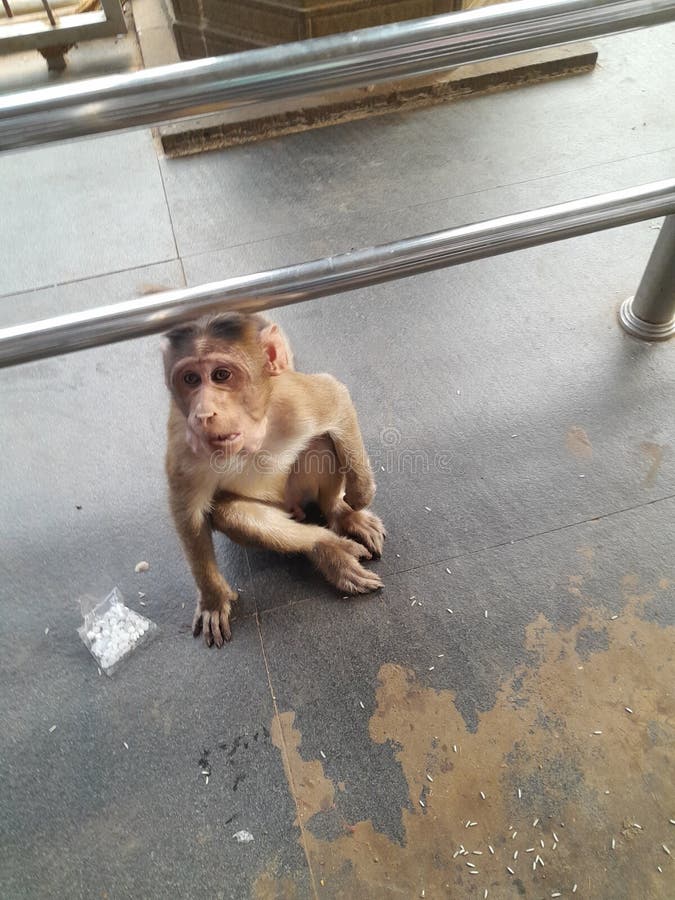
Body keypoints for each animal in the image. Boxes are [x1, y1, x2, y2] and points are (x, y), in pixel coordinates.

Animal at [163, 312, 386, 647]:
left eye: (221, 375)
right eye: (190, 379)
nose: (203, 414)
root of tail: (293, 505)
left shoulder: (292, 399)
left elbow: (336, 397)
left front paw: (360, 493)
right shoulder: (185, 443)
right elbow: (190, 517)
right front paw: (213, 597)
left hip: (300, 489)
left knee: (320, 441)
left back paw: (340, 514)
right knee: (231, 513)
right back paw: (327, 547)